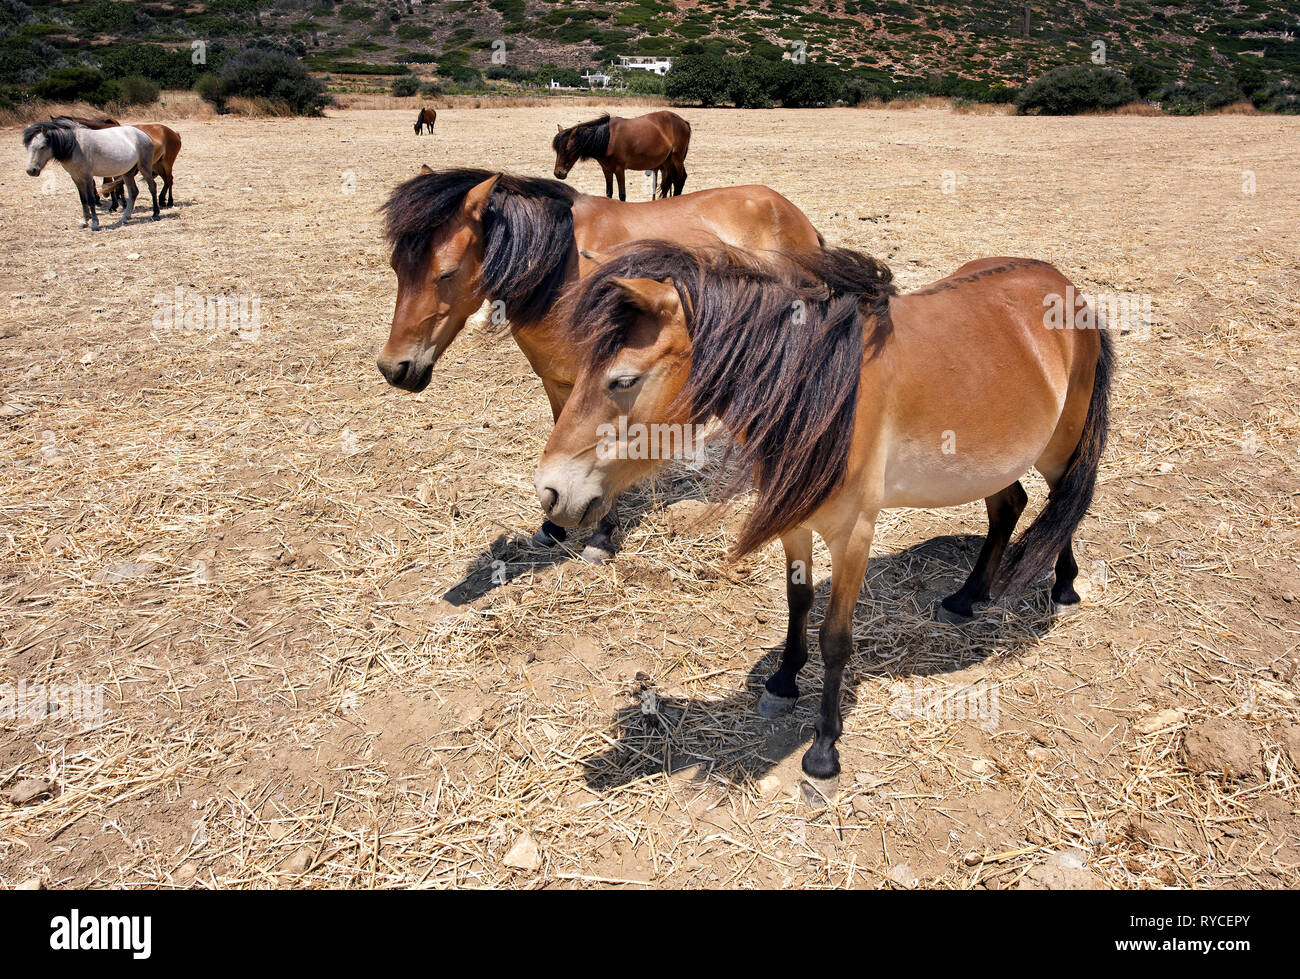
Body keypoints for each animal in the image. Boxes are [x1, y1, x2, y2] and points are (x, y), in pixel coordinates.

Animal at [23, 120, 160, 230]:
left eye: (42, 147)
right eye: (28, 147)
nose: (31, 170)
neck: (74, 146)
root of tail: (145, 135)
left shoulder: (87, 177)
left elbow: (90, 199)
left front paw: (94, 223)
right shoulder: (76, 178)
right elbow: (83, 199)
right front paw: (84, 222)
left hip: (144, 167)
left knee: (152, 187)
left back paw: (156, 214)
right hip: (127, 173)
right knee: (133, 193)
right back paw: (124, 217)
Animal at [51, 116, 182, 210]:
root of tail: (174, 133)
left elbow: (113, 185)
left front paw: (117, 204)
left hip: (167, 162)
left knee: (169, 179)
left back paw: (169, 201)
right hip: (157, 164)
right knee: (166, 180)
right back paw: (162, 200)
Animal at [377, 167, 822, 561]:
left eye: (446, 272)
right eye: (396, 267)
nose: (394, 368)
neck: (561, 273)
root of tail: (790, 211)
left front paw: (602, 535)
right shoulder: (558, 382)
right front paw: (553, 525)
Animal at [535, 240, 1114, 781]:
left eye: (623, 380)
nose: (550, 493)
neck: (824, 394)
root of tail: (1064, 286)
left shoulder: (853, 532)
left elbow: (836, 637)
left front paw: (823, 748)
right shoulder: (794, 522)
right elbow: (798, 601)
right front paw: (784, 681)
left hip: (1060, 448)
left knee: (1066, 504)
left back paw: (1064, 588)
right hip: (992, 461)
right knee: (1009, 507)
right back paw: (967, 597)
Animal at [552, 110, 691, 200]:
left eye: (567, 150)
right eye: (557, 150)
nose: (558, 173)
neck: (608, 139)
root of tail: (683, 122)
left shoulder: (619, 169)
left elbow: (622, 195)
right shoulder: (607, 170)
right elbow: (609, 192)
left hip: (677, 158)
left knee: (680, 179)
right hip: (667, 161)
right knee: (669, 183)